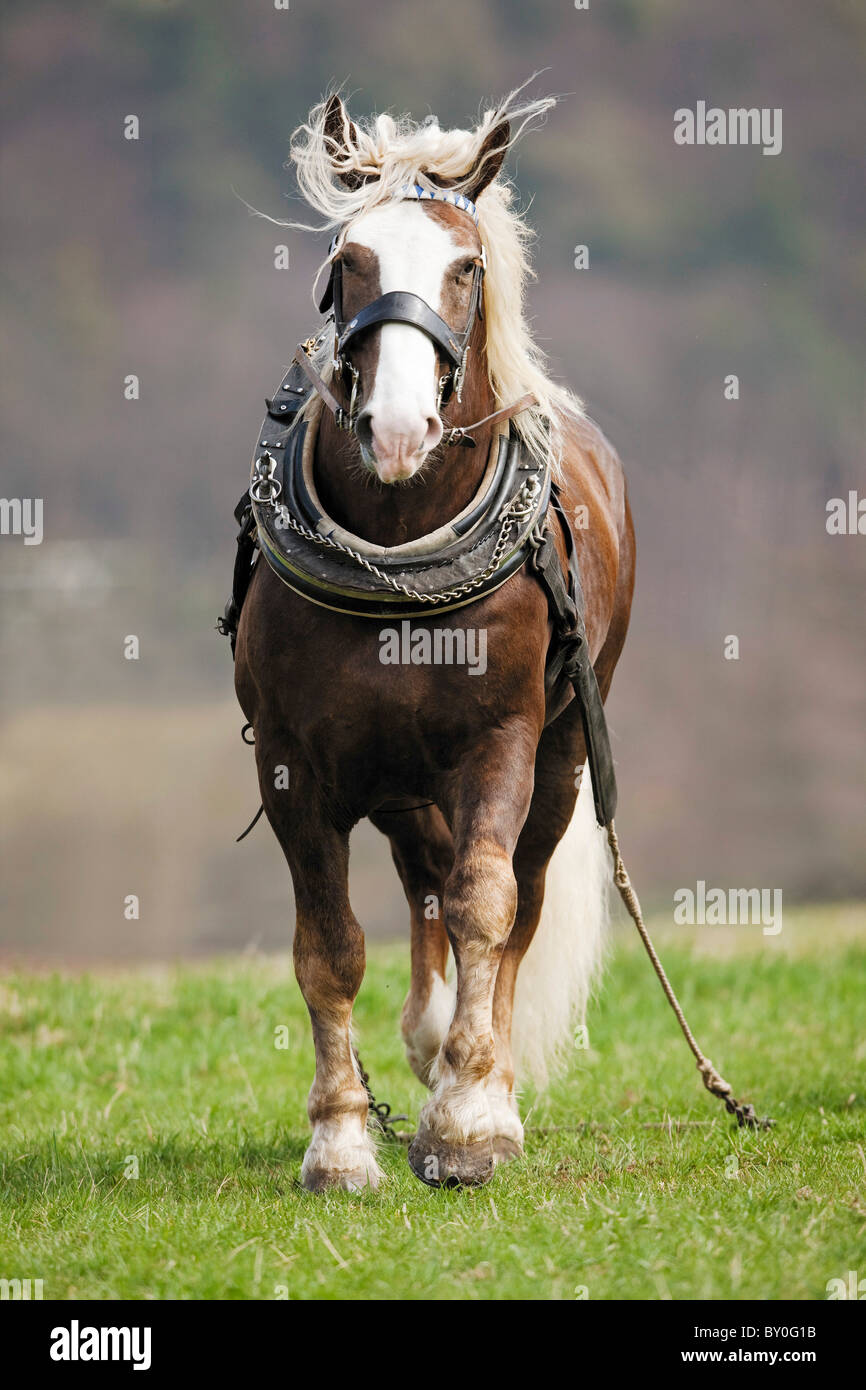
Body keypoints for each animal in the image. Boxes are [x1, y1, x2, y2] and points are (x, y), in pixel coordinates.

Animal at [233, 88, 635, 1191]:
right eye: (348, 262)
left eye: (465, 267)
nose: (400, 427)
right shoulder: (291, 763)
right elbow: (329, 946)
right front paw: (339, 1138)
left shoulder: (501, 741)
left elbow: (485, 909)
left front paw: (468, 1122)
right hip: (401, 776)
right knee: (421, 882)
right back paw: (427, 1042)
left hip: (558, 753)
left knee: (512, 902)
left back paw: (479, 1073)